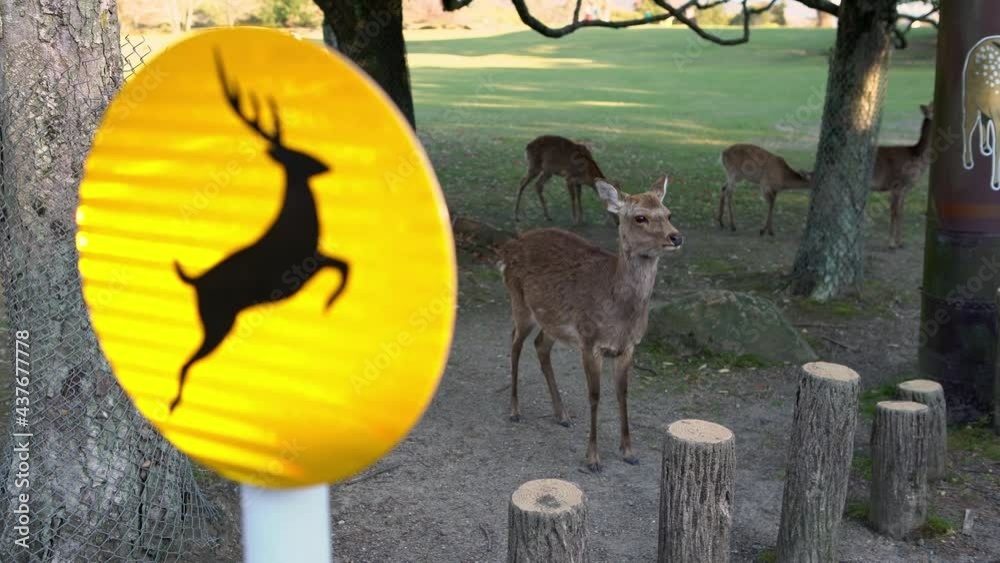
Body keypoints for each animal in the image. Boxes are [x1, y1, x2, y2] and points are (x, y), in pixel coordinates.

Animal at [169, 51, 351, 413]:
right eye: (297, 155)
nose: (326, 165)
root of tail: (195, 281)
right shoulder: (306, 264)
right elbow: (343, 267)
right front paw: (328, 304)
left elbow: (344, 265)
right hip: (218, 321)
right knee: (186, 362)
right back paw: (174, 404)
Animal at [498, 176, 682, 472]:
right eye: (640, 217)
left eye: (668, 214)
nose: (676, 237)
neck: (620, 313)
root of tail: (506, 249)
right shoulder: (589, 342)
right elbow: (594, 396)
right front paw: (593, 458)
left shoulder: (628, 347)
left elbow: (623, 394)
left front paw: (629, 452)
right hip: (520, 302)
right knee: (515, 342)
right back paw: (515, 411)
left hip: (553, 320)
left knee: (540, 345)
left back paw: (562, 414)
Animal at [872, 103, 934, 249]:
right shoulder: (897, 184)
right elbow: (895, 211)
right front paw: (891, 243)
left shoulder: (904, 188)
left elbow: (901, 211)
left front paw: (900, 242)